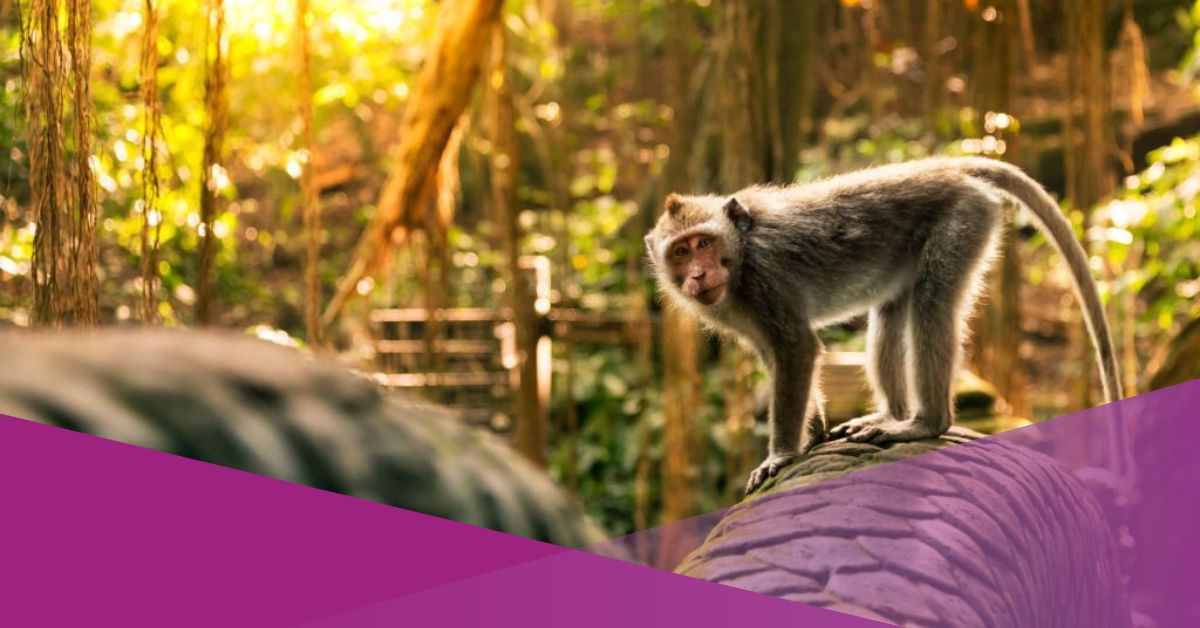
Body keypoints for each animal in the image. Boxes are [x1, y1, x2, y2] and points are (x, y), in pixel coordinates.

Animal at [644, 157, 1123, 494]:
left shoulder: (766, 281)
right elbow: (777, 356)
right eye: (680, 252)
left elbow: (797, 350)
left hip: (962, 220)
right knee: (889, 311)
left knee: (932, 305)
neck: (741, 253)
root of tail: (946, 167)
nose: (698, 275)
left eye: (704, 243)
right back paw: (891, 414)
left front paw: (779, 455)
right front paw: (813, 433)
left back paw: (925, 422)